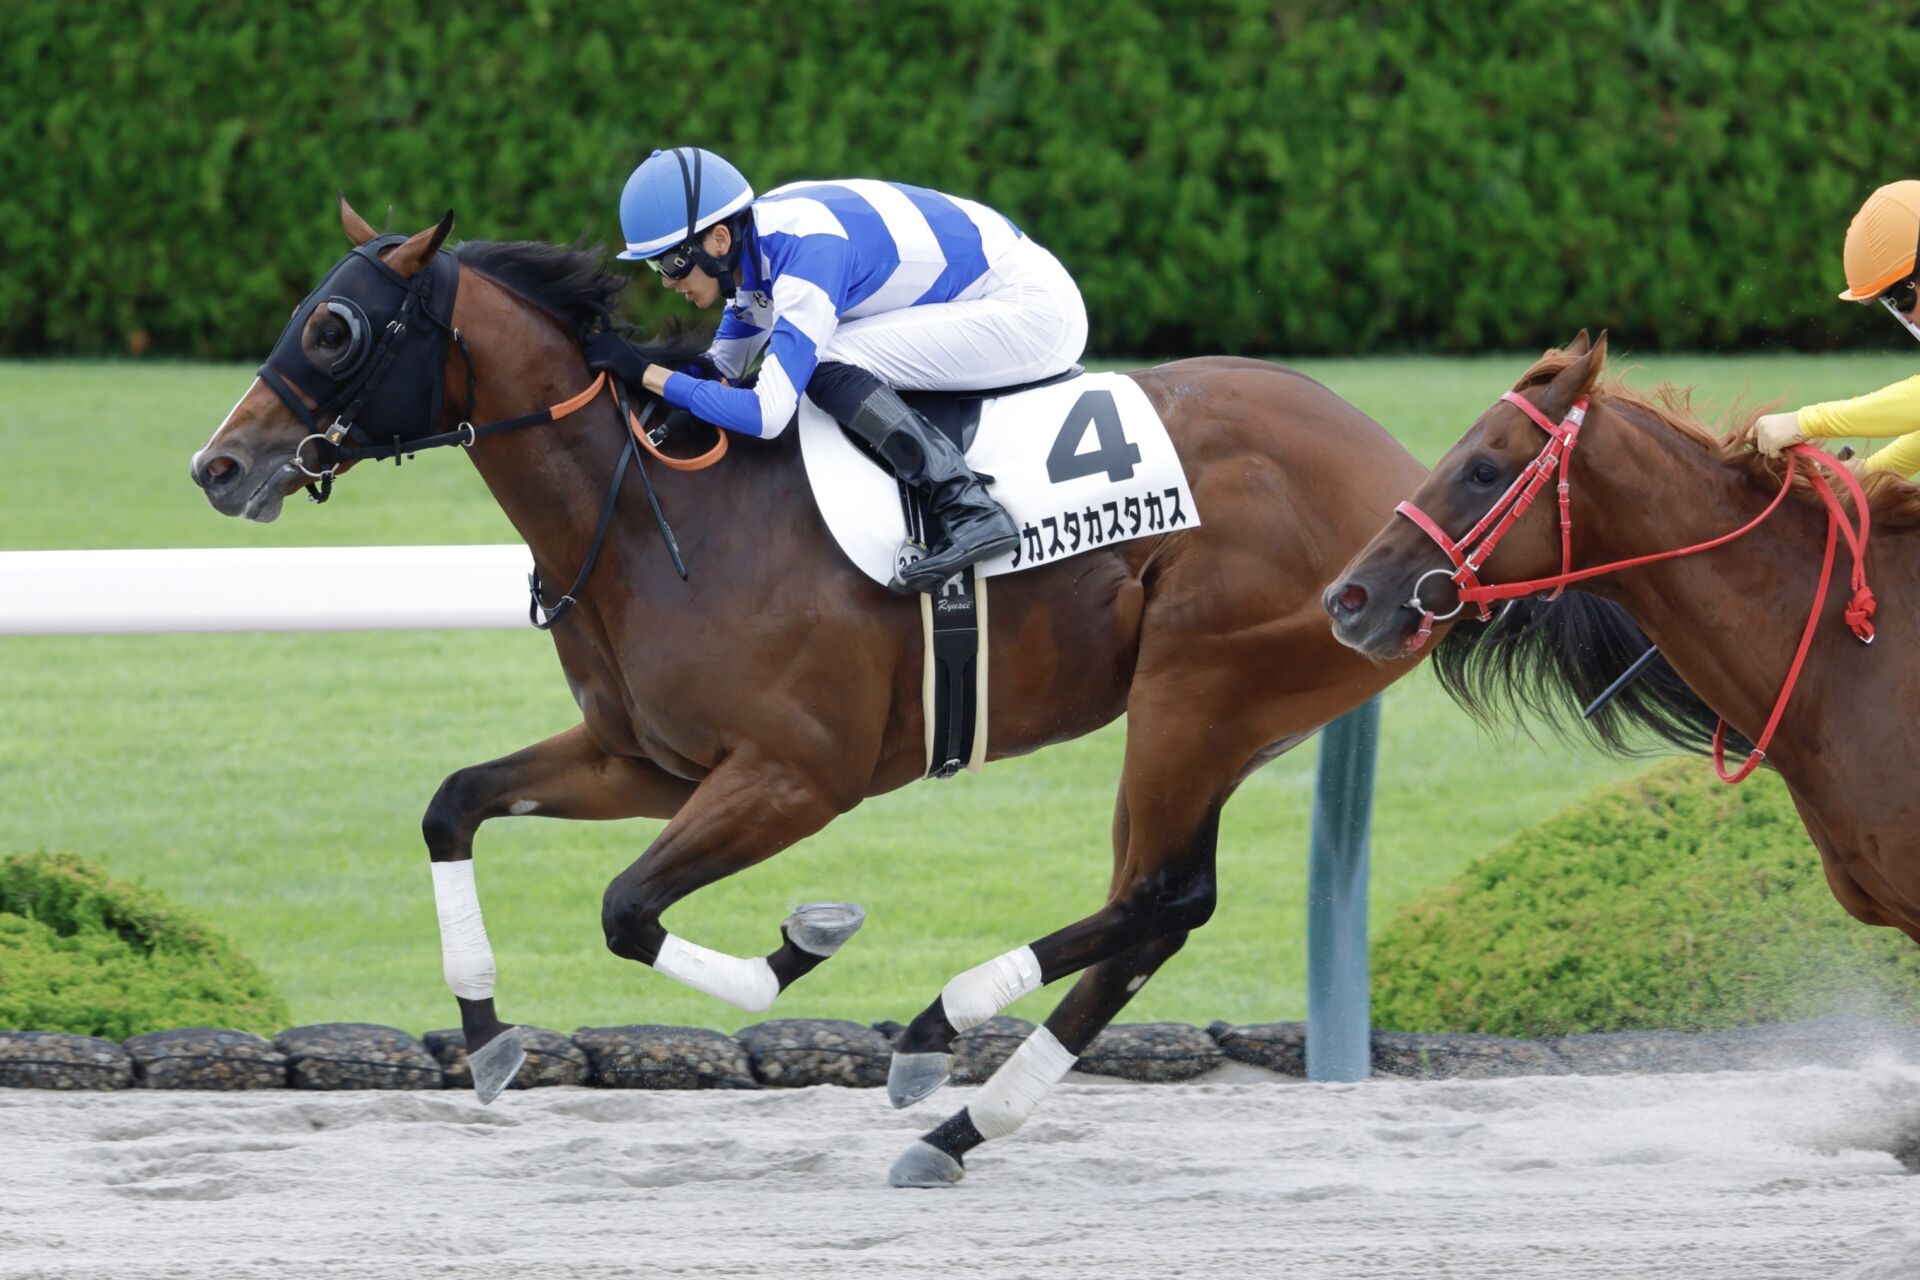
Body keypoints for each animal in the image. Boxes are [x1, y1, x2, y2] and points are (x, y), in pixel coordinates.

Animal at [193, 199, 1430, 1187]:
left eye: (334, 327)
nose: (218, 465)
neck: (658, 513)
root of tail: (1409, 480)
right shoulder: (646, 760)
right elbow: (454, 802)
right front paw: (489, 1032)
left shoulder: (798, 775)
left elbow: (627, 909)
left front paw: (808, 936)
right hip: (1216, 715)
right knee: (1154, 907)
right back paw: (958, 1126)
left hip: (1201, 688)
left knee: (1166, 894)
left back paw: (936, 1030)